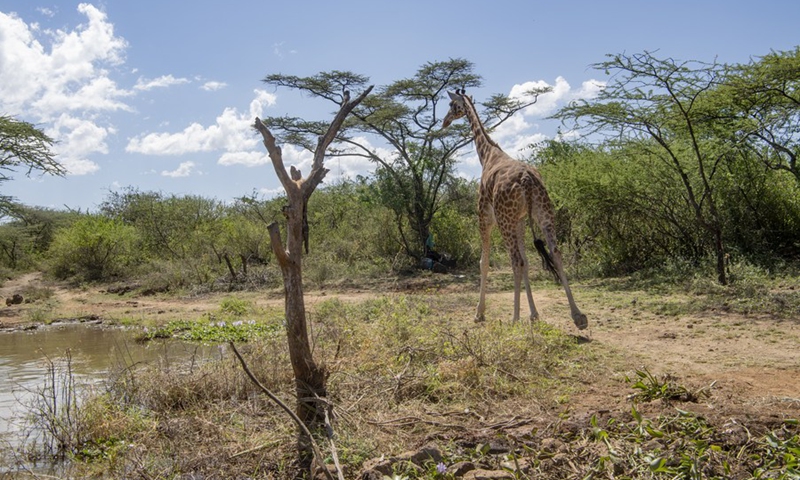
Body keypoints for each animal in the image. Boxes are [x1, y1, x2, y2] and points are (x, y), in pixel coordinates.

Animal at [442, 90, 588, 330]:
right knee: (555, 253)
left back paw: (514, 318)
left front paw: (479, 313)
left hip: (504, 220)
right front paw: (534, 315)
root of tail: (527, 180)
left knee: (515, 260)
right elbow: (528, 262)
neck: (487, 154)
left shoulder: (484, 218)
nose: (444, 122)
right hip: (544, 215)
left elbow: (484, 263)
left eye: (452, 105)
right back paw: (578, 316)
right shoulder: (519, 220)